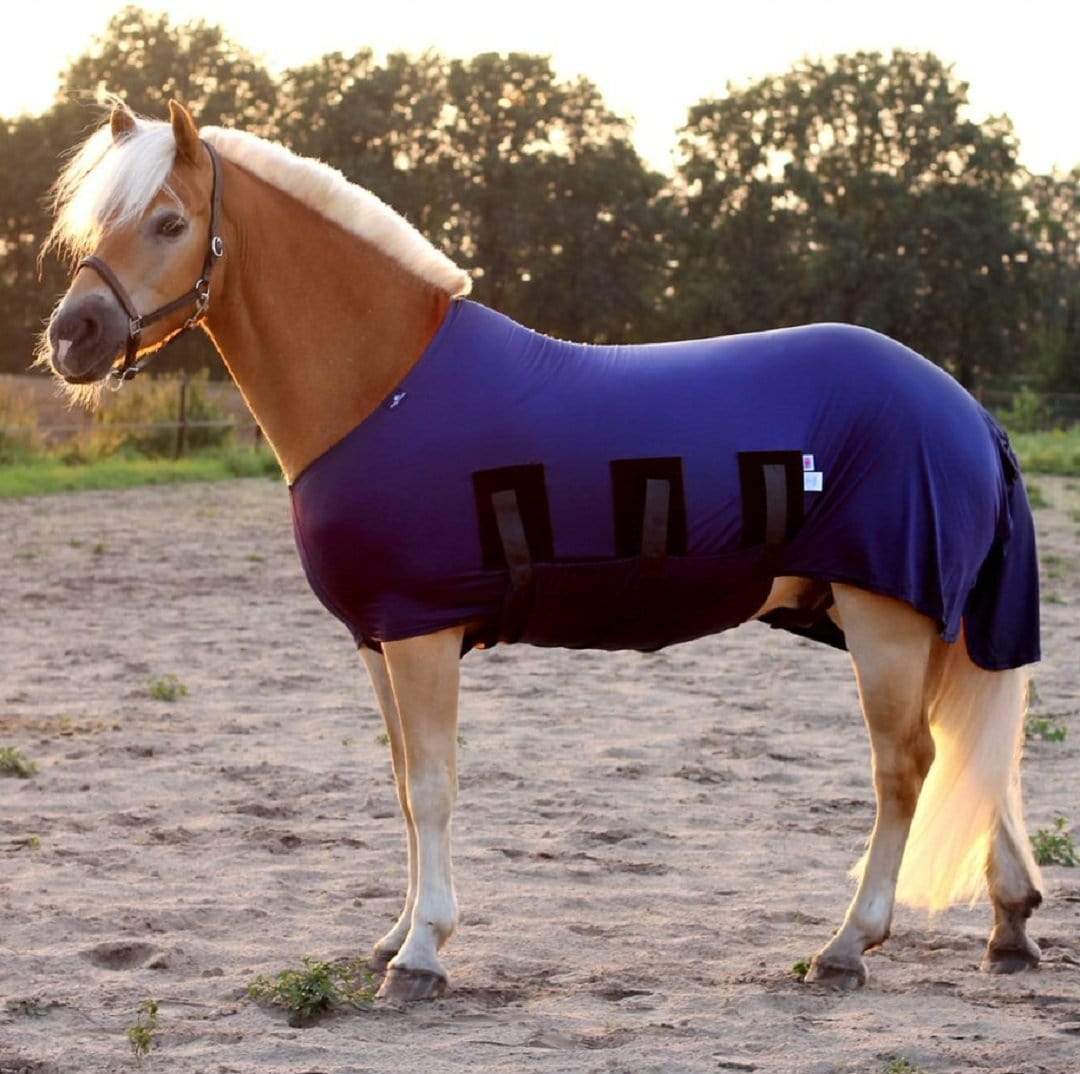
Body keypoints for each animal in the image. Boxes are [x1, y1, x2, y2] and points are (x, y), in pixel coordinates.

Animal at [39, 100, 1044, 1003]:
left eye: (170, 221)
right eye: (97, 219)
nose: (71, 336)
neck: (383, 385)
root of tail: (966, 408)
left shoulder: (422, 634)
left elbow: (434, 786)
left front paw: (422, 955)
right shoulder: (378, 640)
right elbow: (402, 784)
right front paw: (397, 933)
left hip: (885, 623)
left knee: (906, 766)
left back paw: (846, 946)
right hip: (911, 622)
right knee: (975, 751)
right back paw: (1011, 926)